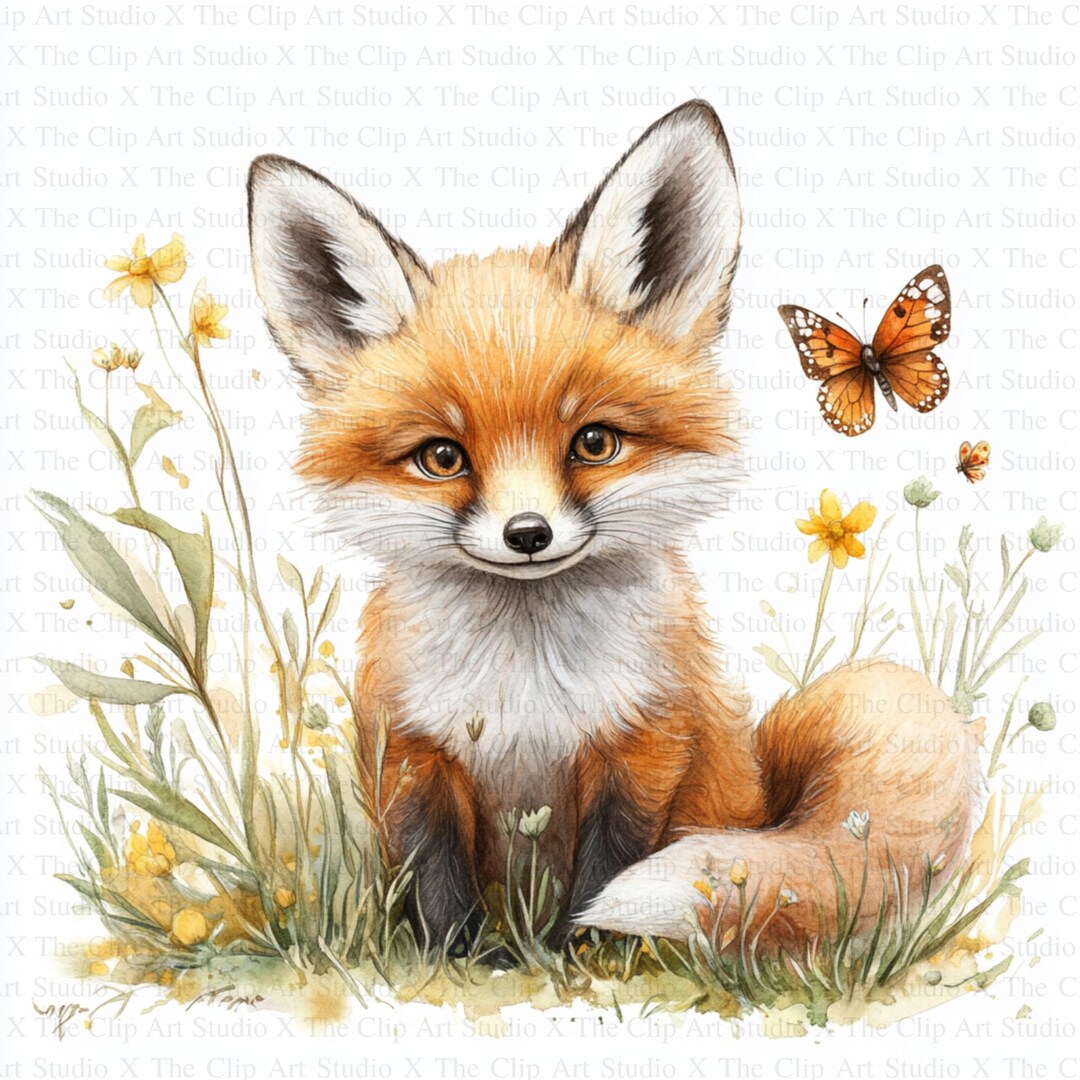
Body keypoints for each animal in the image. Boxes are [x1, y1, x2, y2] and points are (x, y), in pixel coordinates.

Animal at [246, 101, 982, 954]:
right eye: (441, 457)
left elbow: (611, 863)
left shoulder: (645, 741)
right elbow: (434, 876)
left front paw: (583, 954)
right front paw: (452, 958)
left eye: (594, 442)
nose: (528, 534)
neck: (526, 688)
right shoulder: (409, 751)